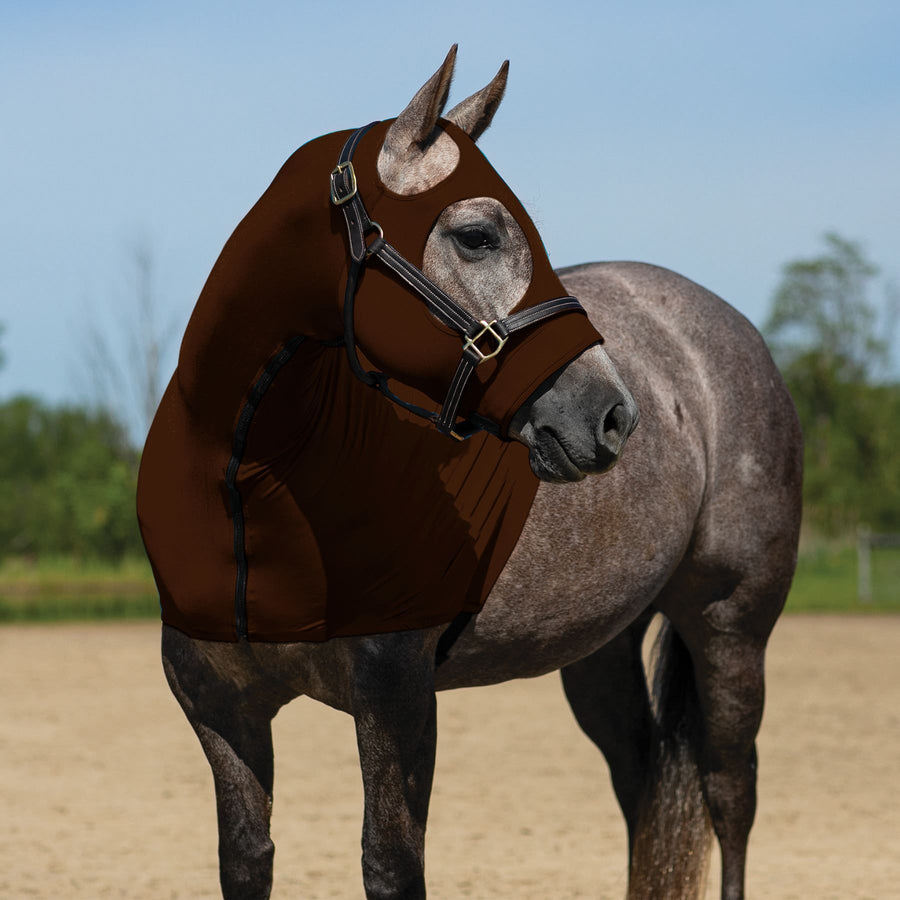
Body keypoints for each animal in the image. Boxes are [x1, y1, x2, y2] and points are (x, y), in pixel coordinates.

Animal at [154, 47, 802, 900]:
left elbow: (391, 864)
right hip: (600, 648)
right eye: (476, 235)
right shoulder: (219, 709)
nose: (612, 414)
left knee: (731, 797)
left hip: (730, 626)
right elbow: (245, 860)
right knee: (639, 786)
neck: (253, 506)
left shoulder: (395, 698)